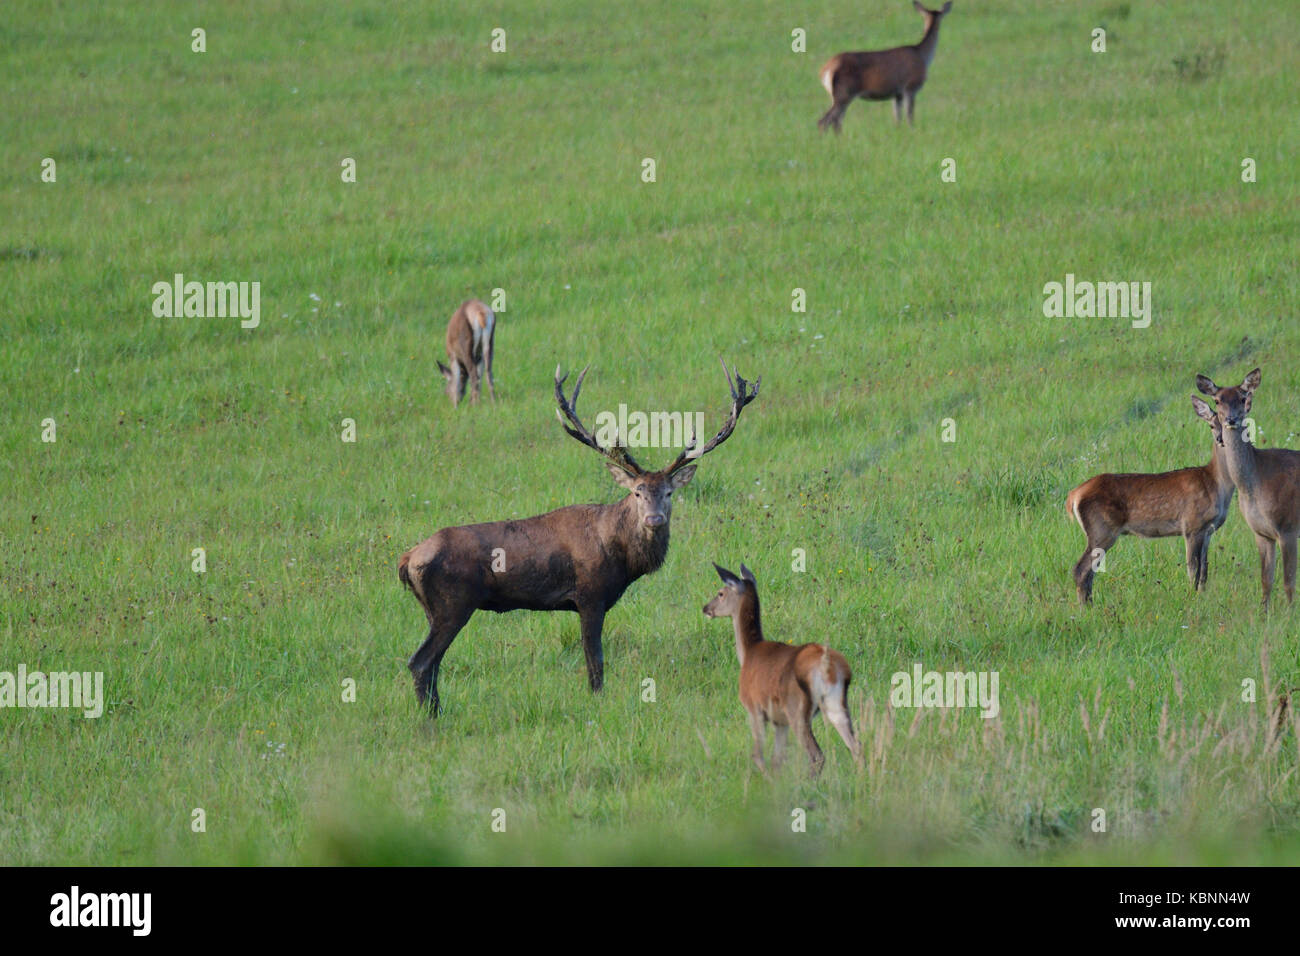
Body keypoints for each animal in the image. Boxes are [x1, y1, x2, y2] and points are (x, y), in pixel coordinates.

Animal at [398, 360, 760, 714]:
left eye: (669, 492)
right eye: (637, 493)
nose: (654, 519)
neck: (622, 558)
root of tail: (407, 560)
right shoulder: (589, 595)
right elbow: (594, 660)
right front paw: (597, 702)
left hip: (432, 609)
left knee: (430, 664)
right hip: (453, 603)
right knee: (421, 661)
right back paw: (432, 717)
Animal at [703, 563, 862, 776]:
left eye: (721, 593)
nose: (706, 608)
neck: (748, 654)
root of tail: (831, 668)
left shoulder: (753, 707)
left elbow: (758, 755)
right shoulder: (780, 721)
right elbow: (776, 759)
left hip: (797, 708)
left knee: (817, 755)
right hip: (836, 702)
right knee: (855, 746)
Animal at [818, 1, 953, 133]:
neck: (923, 56)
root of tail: (825, 70)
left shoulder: (897, 93)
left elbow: (897, 118)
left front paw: (898, 132)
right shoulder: (910, 87)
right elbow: (910, 116)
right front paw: (912, 132)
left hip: (838, 95)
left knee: (836, 121)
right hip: (844, 92)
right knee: (825, 121)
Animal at [1065, 398, 1234, 605]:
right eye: (1211, 425)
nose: (1220, 439)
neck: (1215, 482)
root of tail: (1075, 494)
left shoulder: (1208, 531)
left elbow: (1204, 571)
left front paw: (1201, 597)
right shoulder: (1192, 526)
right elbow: (1193, 570)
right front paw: (1192, 599)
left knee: (1089, 573)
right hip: (1101, 529)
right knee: (1081, 570)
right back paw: (1086, 608)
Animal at [1196, 368, 1300, 607]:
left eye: (1243, 398)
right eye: (1217, 400)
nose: (1231, 419)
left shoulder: (1288, 526)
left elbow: (1288, 583)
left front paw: (1290, 614)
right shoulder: (1261, 532)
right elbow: (1266, 581)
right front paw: (1264, 613)